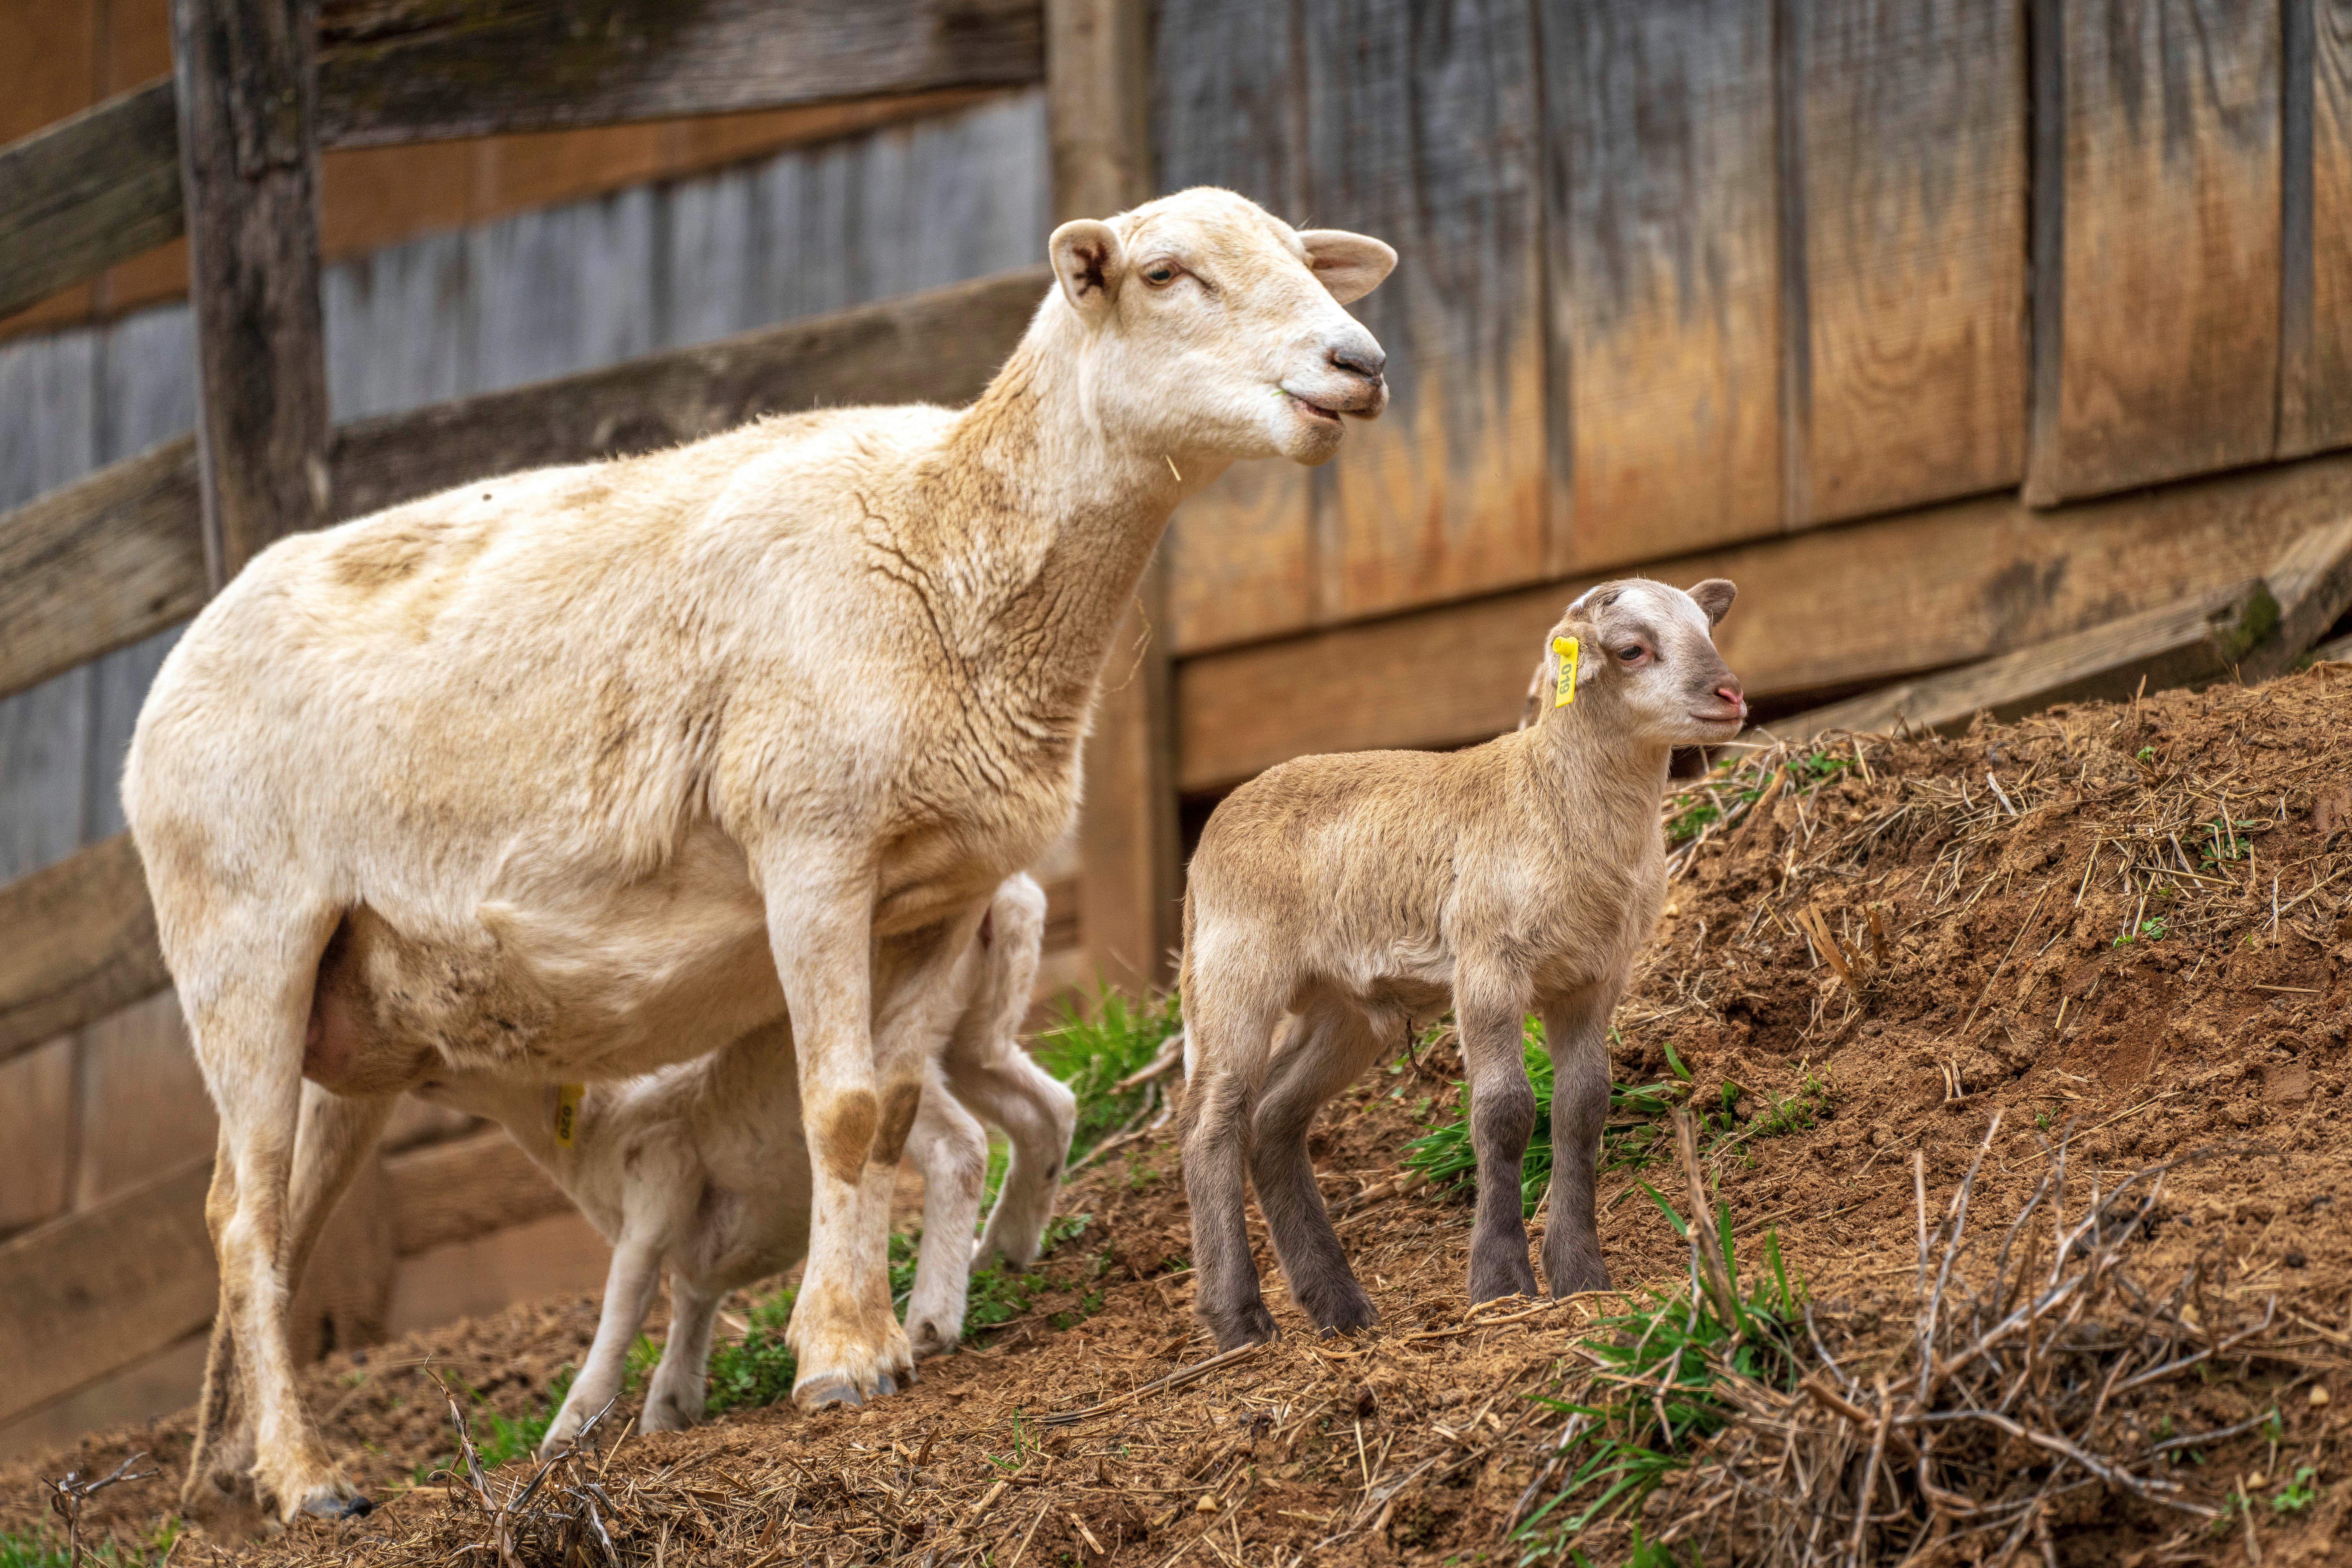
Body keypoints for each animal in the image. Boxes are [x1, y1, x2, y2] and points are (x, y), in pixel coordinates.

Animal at [406, 874, 1070, 1456]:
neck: (591, 1120)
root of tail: (998, 891)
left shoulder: (659, 1169)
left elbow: (627, 1299)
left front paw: (571, 1429)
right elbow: (692, 1298)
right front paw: (669, 1407)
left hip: (894, 1031)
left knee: (957, 1146)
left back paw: (931, 1318)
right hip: (979, 1032)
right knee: (1048, 1107)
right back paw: (1001, 1250)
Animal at [1175, 579, 1745, 1350]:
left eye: (1706, 630)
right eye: (1631, 649)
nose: (1730, 694)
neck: (1551, 794)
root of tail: (1209, 834)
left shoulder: (1593, 977)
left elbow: (1582, 1107)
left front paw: (1581, 1275)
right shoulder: (1486, 963)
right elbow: (1504, 1110)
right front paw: (1500, 1284)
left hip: (1340, 1006)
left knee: (1271, 1119)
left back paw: (1339, 1307)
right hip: (1235, 971)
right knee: (1212, 1123)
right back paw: (1239, 1321)